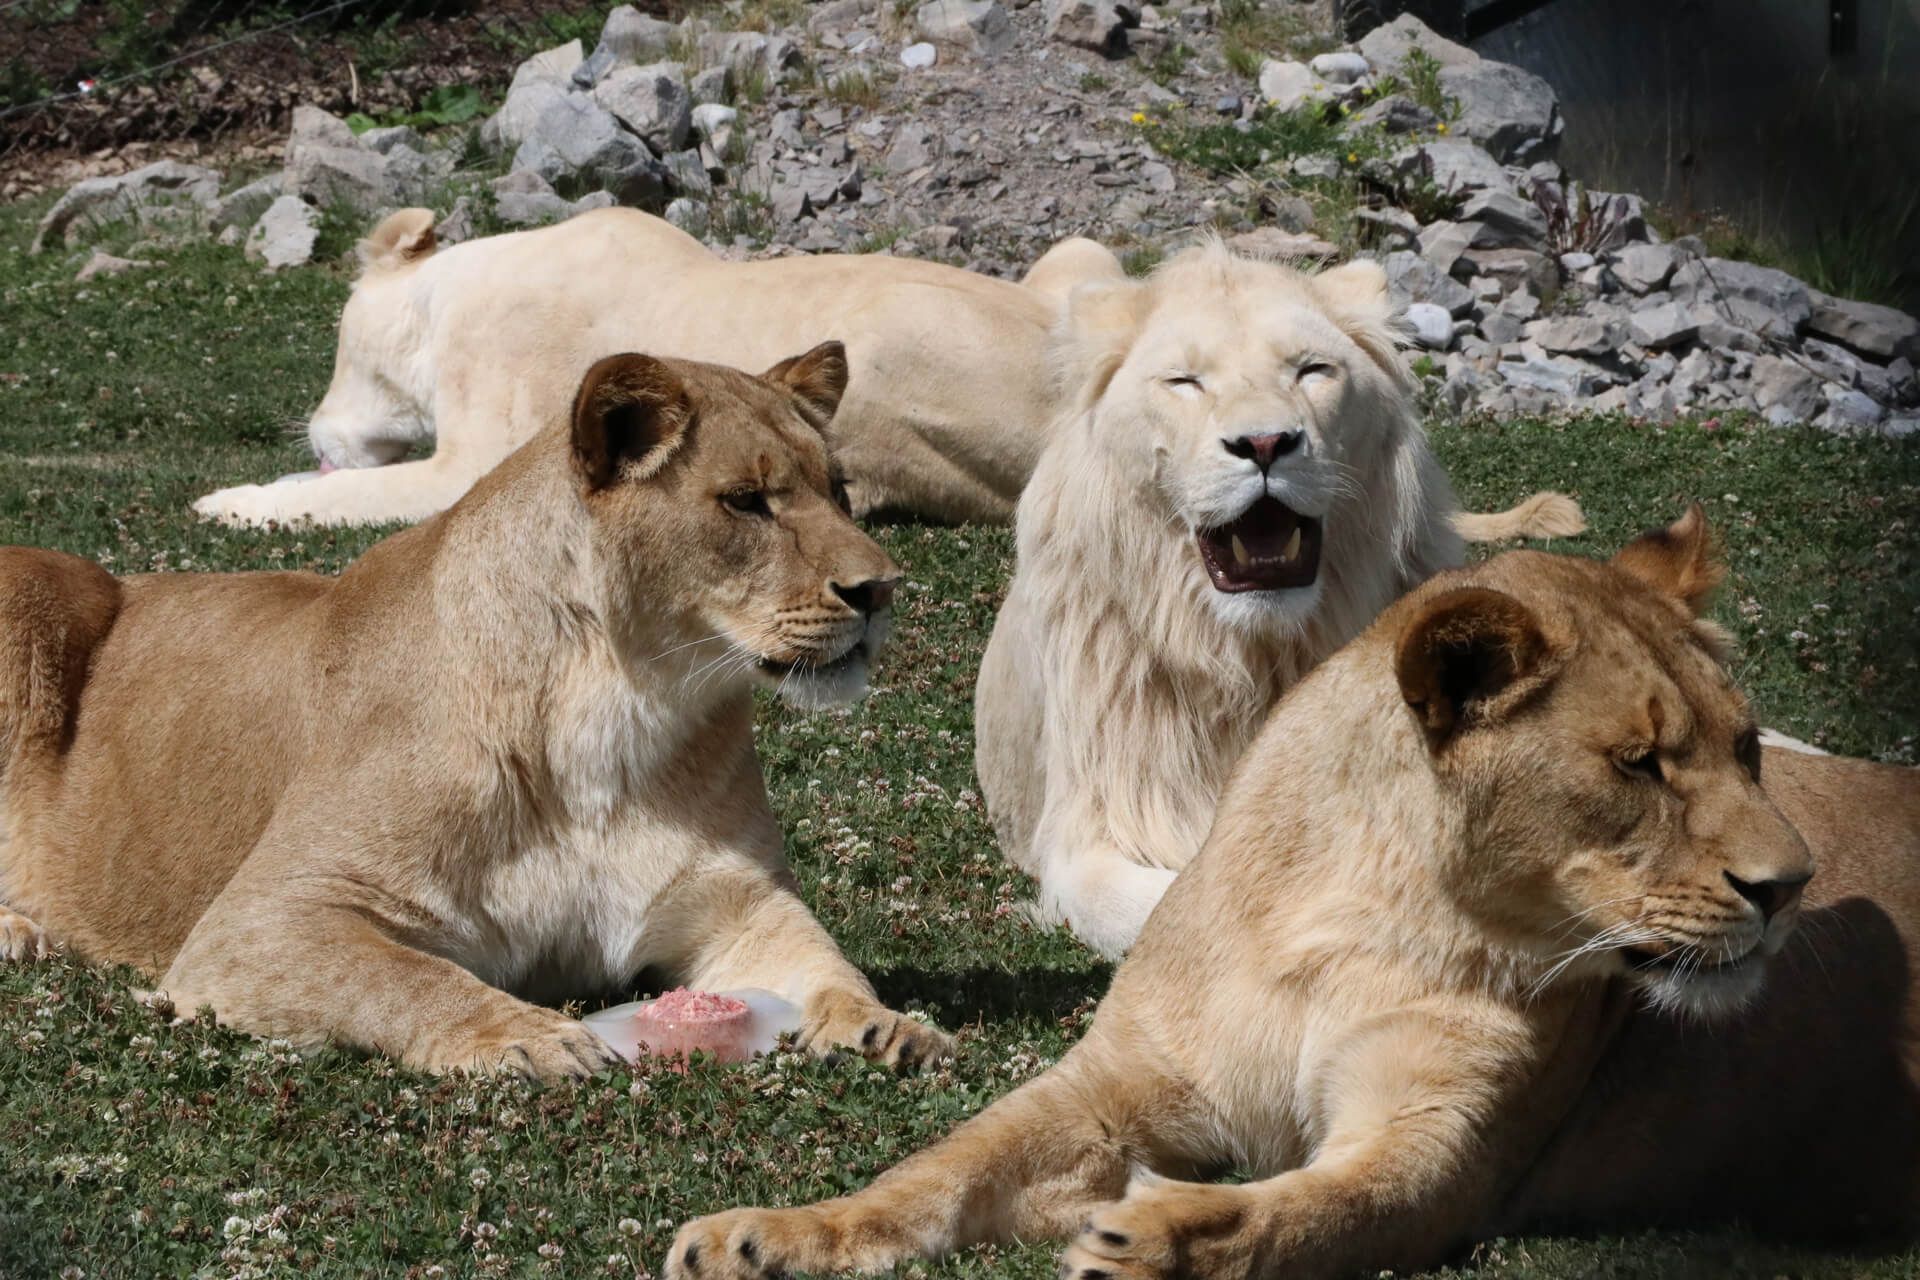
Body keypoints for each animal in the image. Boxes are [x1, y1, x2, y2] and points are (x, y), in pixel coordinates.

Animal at [0, 343, 953, 1078]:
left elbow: (824, 960)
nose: (882, 590)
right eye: (746, 501)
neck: (620, 708)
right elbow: (405, 979)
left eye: (839, 492)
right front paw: (533, 1038)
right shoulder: (258, 921)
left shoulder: (736, 900)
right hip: (30, 595)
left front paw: (887, 1024)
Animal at [666, 508, 1920, 1279]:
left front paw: (1155, 1237)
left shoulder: (1440, 1153)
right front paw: (767, 1234)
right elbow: (940, 1166)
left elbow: (1295, 1212)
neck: (1356, 915)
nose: (1792, 885)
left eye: (1748, 747)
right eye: (1641, 764)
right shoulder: (1116, 1084)